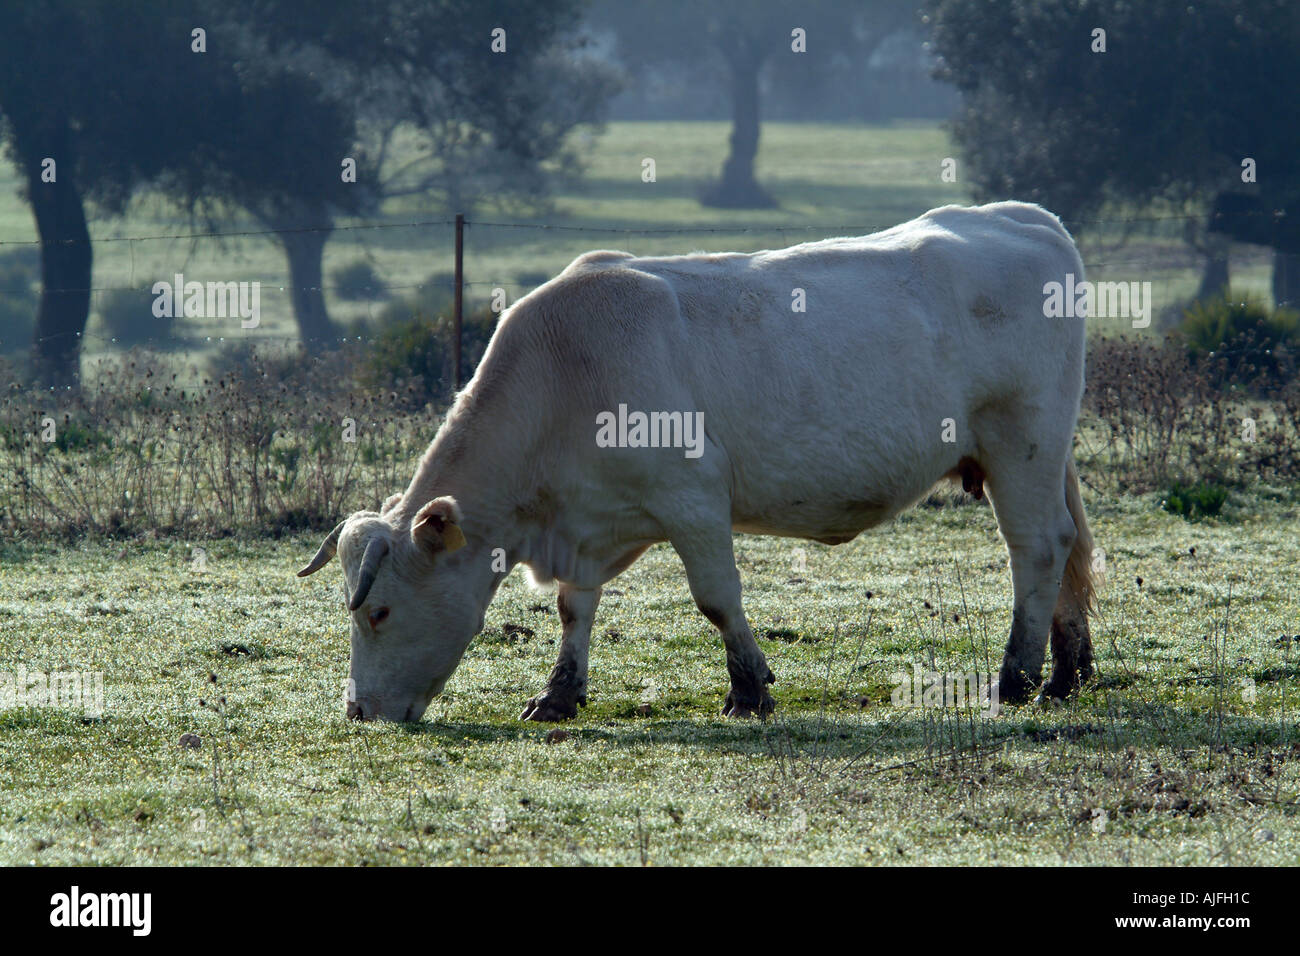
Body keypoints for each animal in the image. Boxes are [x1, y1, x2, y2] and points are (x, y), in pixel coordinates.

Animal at [298, 201, 1097, 722]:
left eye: (378, 611)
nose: (358, 712)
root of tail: (1024, 216)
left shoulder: (693, 499)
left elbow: (717, 599)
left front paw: (749, 690)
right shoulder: (587, 523)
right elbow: (574, 608)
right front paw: (559, 695)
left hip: (1020, 442)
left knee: (1036, 547)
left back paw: (1016, 679)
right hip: (1043, 453)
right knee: (1069, 544)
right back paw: (1068, 672)